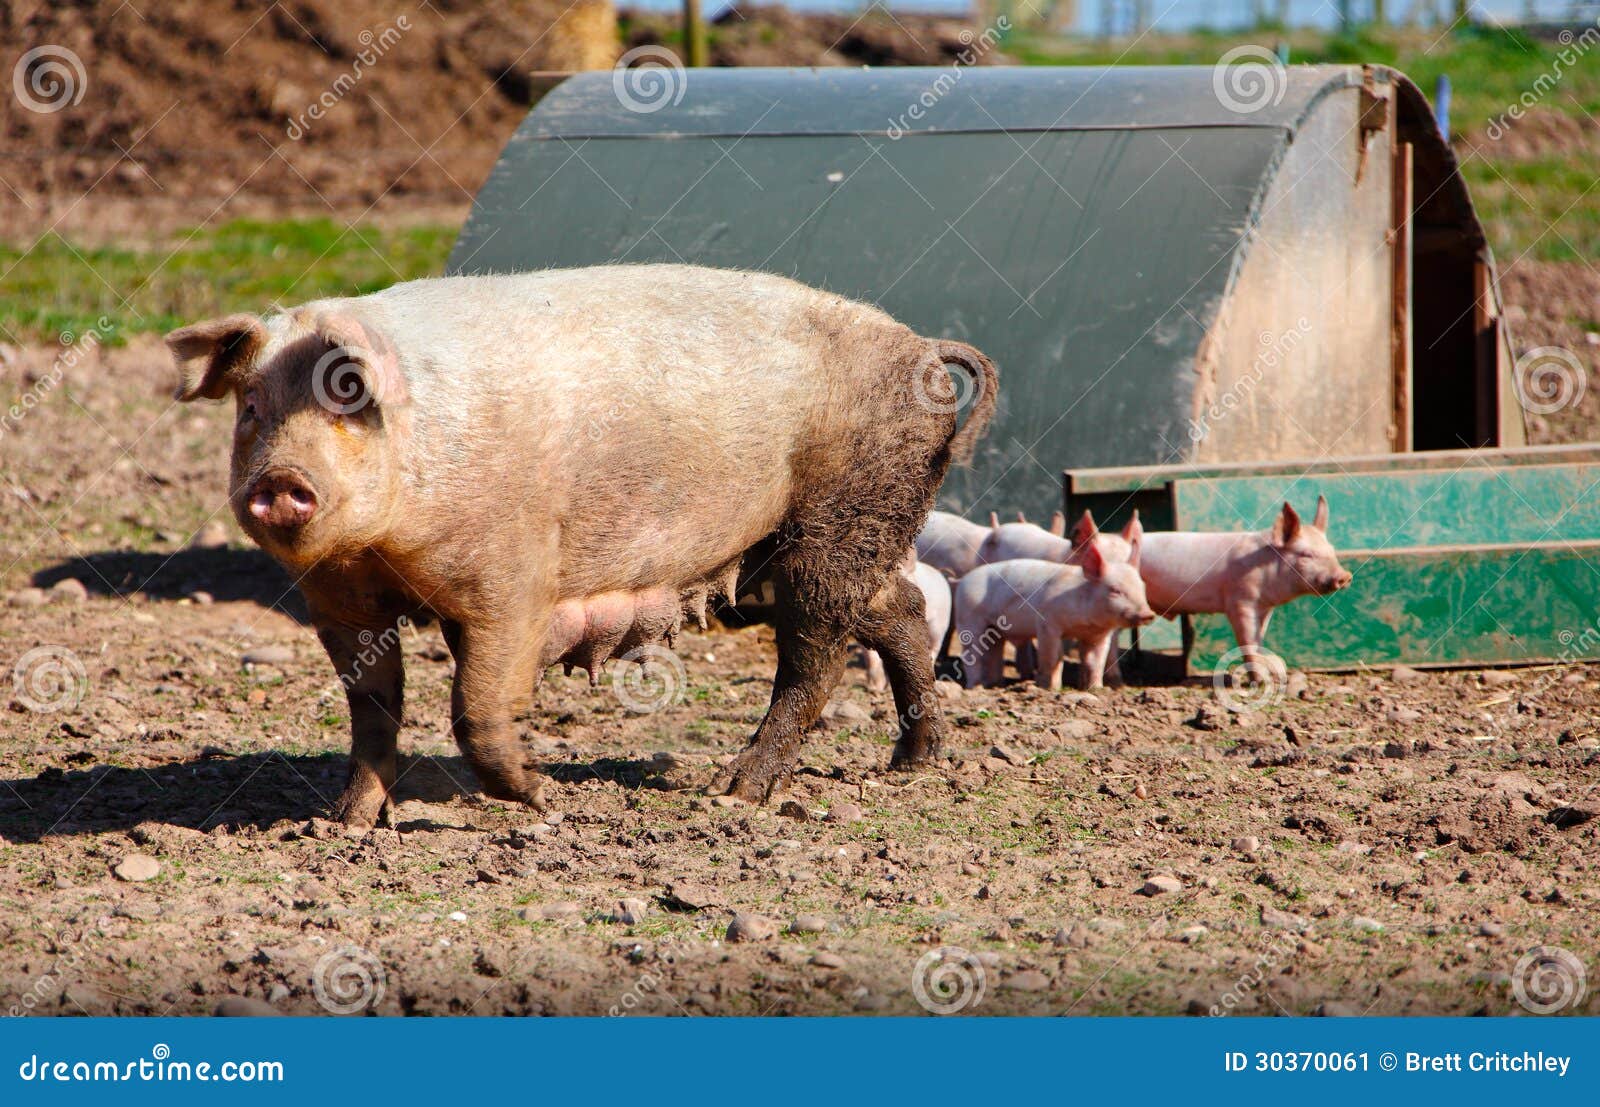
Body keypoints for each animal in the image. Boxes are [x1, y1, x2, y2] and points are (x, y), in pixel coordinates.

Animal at [953, 541, 1155, 690]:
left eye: (1143, 586)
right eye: (1115, 590)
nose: (1148, 614)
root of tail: (963, 580)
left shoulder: (1099, 635)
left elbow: (1096, 661)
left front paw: (1097, 689)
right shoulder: (1047, 623)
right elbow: (1053, 656)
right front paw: (1050, 688)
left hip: (994, 630)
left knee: (994, 652)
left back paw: (994, 685)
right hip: (969, 618)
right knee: (971, 655)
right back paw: (976, 687)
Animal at [1138, 497, 1351, 682]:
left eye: (1332, 551)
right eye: (1306, 554)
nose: (1346, 576)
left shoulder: (1265, 607)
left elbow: (1259, 638)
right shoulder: (1241, 601)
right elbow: (1248, 640)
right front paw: (1258, 680)